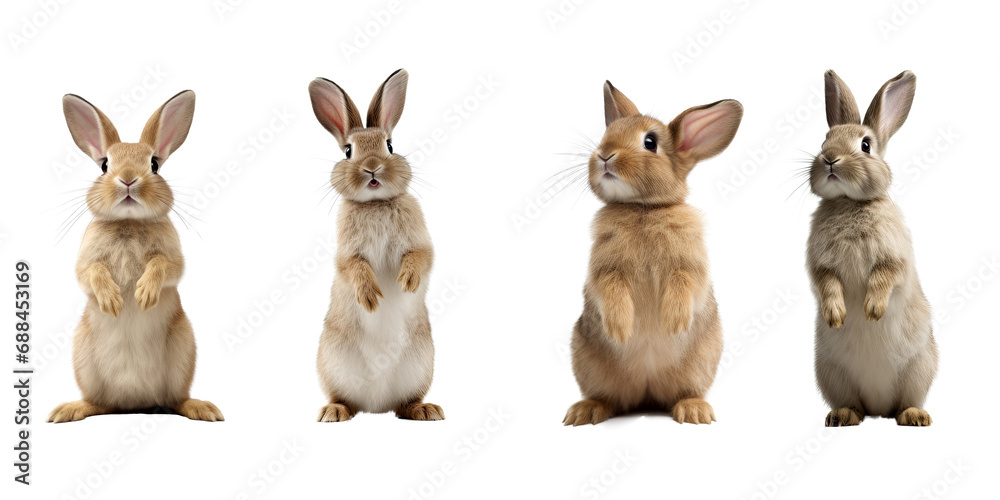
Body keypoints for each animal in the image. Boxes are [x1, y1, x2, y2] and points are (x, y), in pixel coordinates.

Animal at [48, 90, 223, 423]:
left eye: (154, 164)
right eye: (104, 165)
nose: (128, 179)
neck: (128, 222)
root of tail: (133, 405)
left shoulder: (172, 258)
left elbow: (163, 265)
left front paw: (144, 294)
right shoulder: (86, 261)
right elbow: (91, 272)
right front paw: (112, 300)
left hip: (182, 353)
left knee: (176, 399)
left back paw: (202, 408)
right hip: (85, 361)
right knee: (97, 403)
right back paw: (68, 410)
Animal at [309, 69, 443, 422]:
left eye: (390, 145)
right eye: (347, 151)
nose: (372, 166)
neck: (376, 203)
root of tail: (376, 405)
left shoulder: (420, 241)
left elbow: (421, 256)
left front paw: (407, 280)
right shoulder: (347, 252)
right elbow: (353, 267)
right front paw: (370, 296)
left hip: (420, 367)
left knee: (406, 403)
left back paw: (426, 409)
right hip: (333, 364)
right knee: (344, 398)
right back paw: (334, 412)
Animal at [563, 81, 743, 426]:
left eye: (650, 142)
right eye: (607, 135)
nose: (604, 155)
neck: (643, 208)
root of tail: (646, 394)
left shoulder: (688, 265)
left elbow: (684, 284)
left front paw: (674, 323)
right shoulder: (605, 269)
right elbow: (611, 290)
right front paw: (620, 330)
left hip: (698, 365)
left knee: (685, 393)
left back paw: (695, 411)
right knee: (609, 398)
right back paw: (585, 411)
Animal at [807, 70, 937, 427]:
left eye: (865, 145)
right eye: (824, 140)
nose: (829, 159)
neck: (849, 202)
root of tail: (879, 407)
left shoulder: (894, 258)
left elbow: (884, 277)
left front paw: (872, 310)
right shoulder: (821, 265)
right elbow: (827, 283)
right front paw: (836, 315)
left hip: (919, 371)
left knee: (905, 403)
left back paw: (915, 417)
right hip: (832, 374)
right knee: (855, 405)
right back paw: (842, 416)